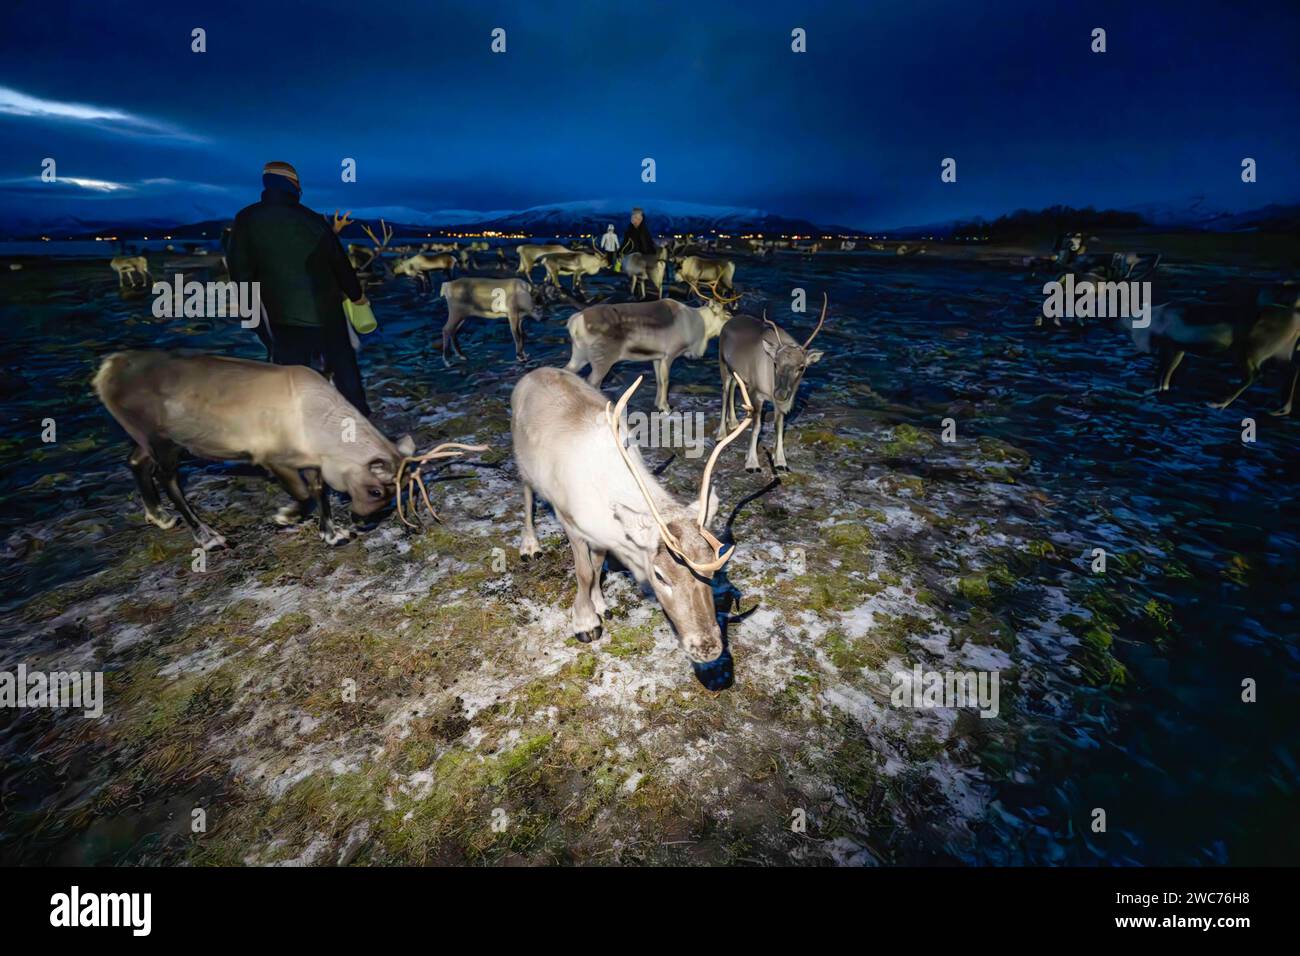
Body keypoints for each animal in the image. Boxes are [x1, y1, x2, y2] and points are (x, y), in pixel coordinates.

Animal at [93, 350, 484, 549]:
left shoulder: (310, 460)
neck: (321, 431)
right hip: (164, 440)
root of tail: (106, 370)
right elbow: (304, 493)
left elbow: (319, 490)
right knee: (168, 478)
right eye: (376, 490)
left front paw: (331, 532)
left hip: (149, 438)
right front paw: (286, 516)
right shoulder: (272, 458)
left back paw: (157, 515)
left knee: (135, 461)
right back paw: (207, 535)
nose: (362, 522)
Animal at [512, 367, 754, 661]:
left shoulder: (603, 534)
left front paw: (601, 605)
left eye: (712, 568)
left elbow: (596, 566)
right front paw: (585, 623)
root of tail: (534, 372)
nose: (708, 648)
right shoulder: (568, 519)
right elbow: (584, 572)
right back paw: (530, 545)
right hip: (522, 461)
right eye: (659, 575)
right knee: (526, 495)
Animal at [565, 288, 738, 412]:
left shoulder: (657, 357)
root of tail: (575, 321)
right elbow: (666, 380)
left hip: (579, 356)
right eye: (727, 313)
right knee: (592, 382)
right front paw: (666, 408)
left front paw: (658, 405)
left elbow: (659, 381)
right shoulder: (669, 355)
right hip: (602, 360)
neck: (698, 324)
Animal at [718, 293, 827, 472]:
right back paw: (721, 434)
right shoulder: (756, 393)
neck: (771, 385)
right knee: (725, 392)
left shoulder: (780, 403)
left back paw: (733, 423)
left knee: (734, 386)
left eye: (802, 367)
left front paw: (780, 461)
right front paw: (752, 463)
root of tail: (728, 321)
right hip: (723, 364)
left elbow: (779, 427)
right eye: (775, 363)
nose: (780, 393)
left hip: (737, 372)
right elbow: (756, 427)